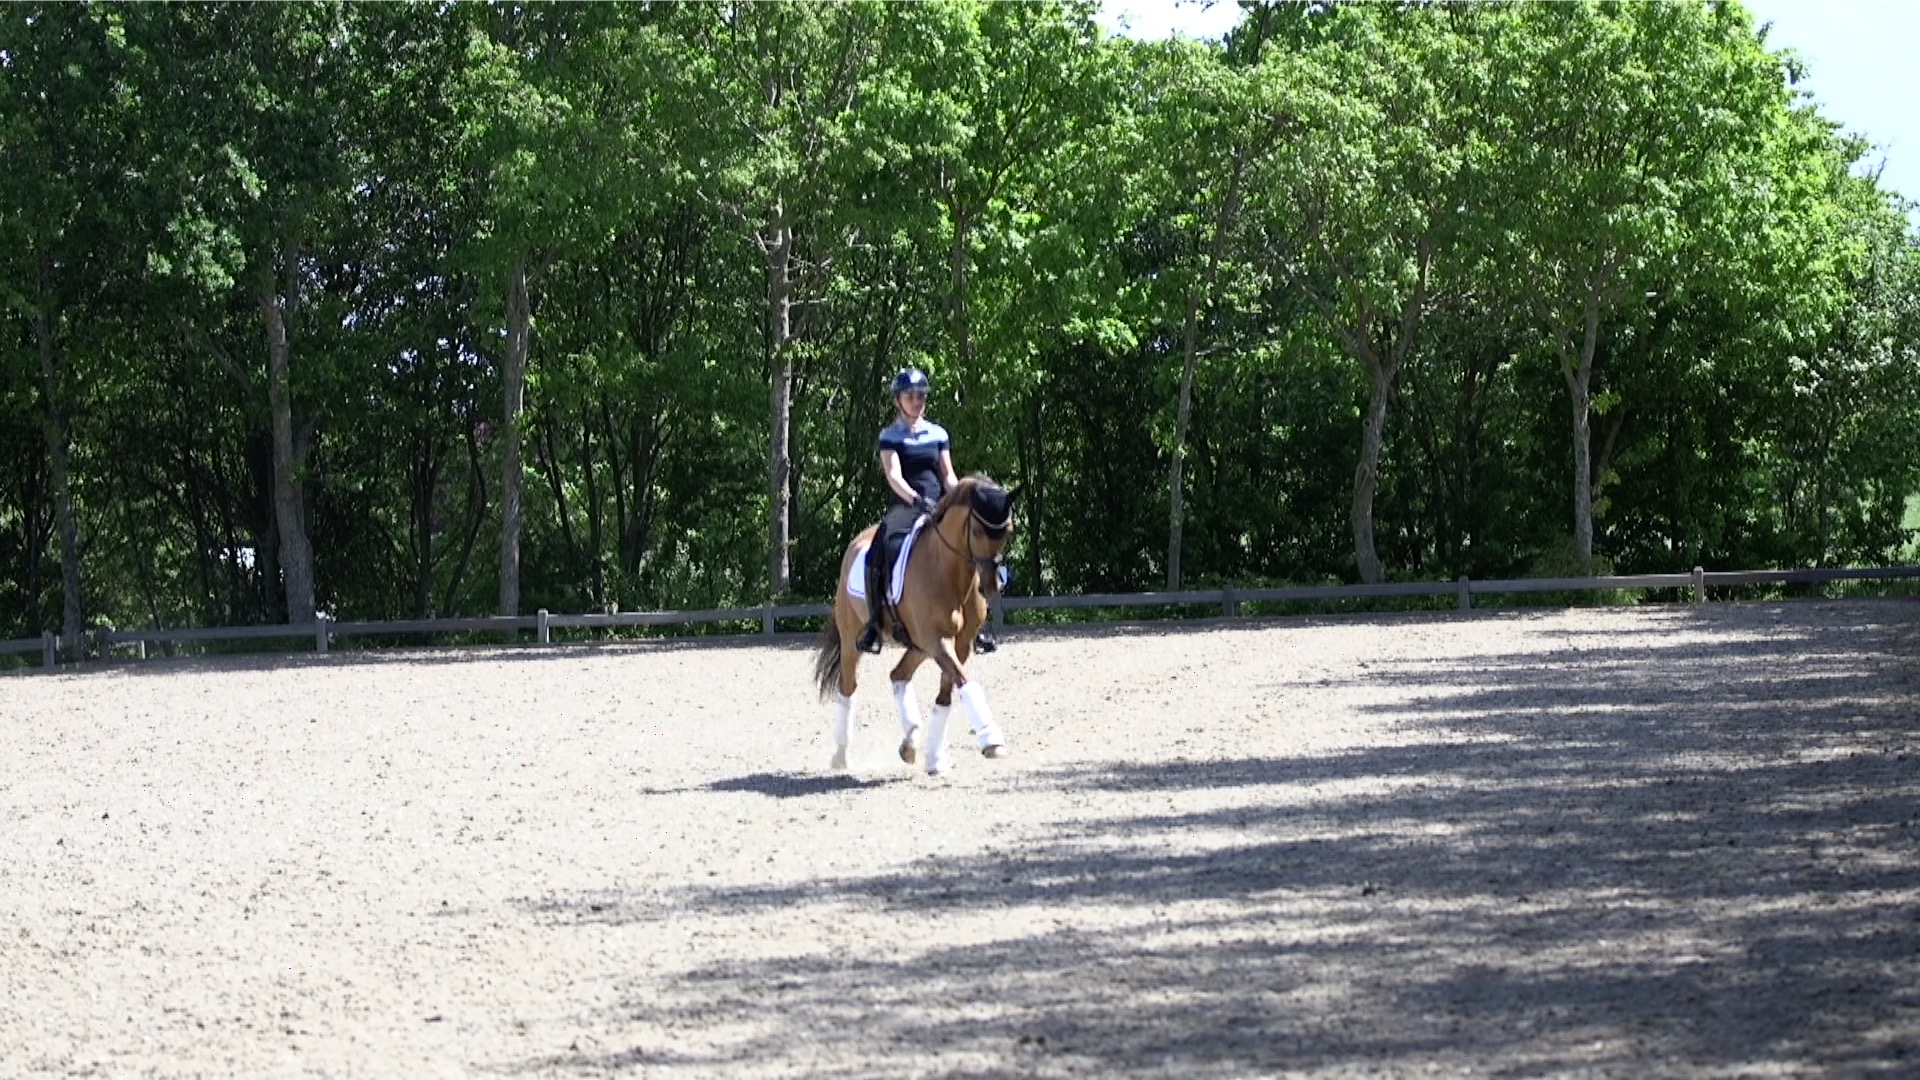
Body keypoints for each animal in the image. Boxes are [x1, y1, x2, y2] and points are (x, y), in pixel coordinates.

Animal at [812, 474, 1015, 775]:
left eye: (1008, 532)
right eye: (978, 531)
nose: (992, 585)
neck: (948, 572)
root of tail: (857, 542)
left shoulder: (960, 644)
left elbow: (948, 692)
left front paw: (935, 757)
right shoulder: (938, 641)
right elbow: (963, 680)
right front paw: (991, 740)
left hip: (918, 646)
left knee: (898, 675)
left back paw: (910, 740)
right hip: (852, 642)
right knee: (848, 688)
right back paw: (841, 756)